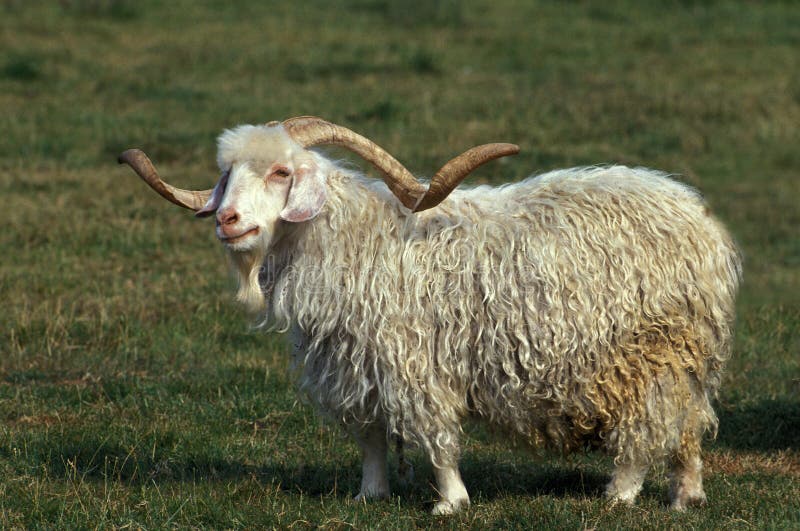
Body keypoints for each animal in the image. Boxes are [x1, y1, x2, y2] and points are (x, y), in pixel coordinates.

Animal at [119, 116, 741, 514]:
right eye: (228, 175)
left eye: (280, 173)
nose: (228, 220)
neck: (356, 241)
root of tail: (699, 219)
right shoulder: (354, 363)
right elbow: (370, 433)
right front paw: (370, 495)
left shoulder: (412, 360)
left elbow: (434, 431)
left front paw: (450, 502)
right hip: (685, 355)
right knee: (688, 427)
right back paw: (686, 497)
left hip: (649, 357)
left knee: (647, 428)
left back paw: (620, 495)